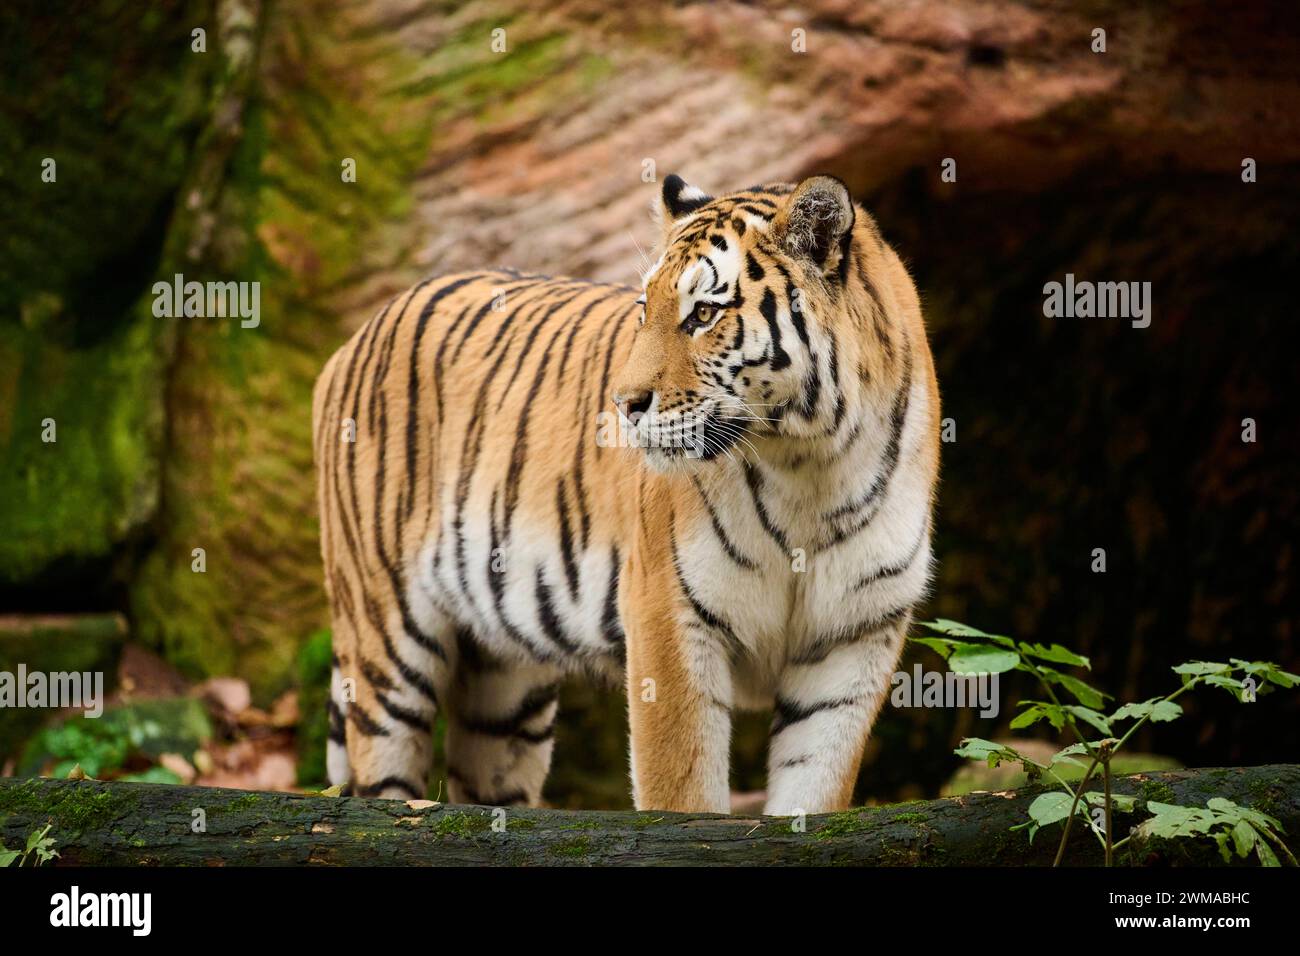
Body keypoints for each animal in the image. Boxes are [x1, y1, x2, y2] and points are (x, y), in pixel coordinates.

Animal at [312, 173, 940, 815]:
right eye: (645, 309)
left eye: (704, 313)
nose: (624, 403)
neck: (809, 464)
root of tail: (357, 336)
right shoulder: (668, 611)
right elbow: (682, 794)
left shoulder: (854, 636)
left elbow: (813, 795)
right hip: (387, 639)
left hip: (505, 685)